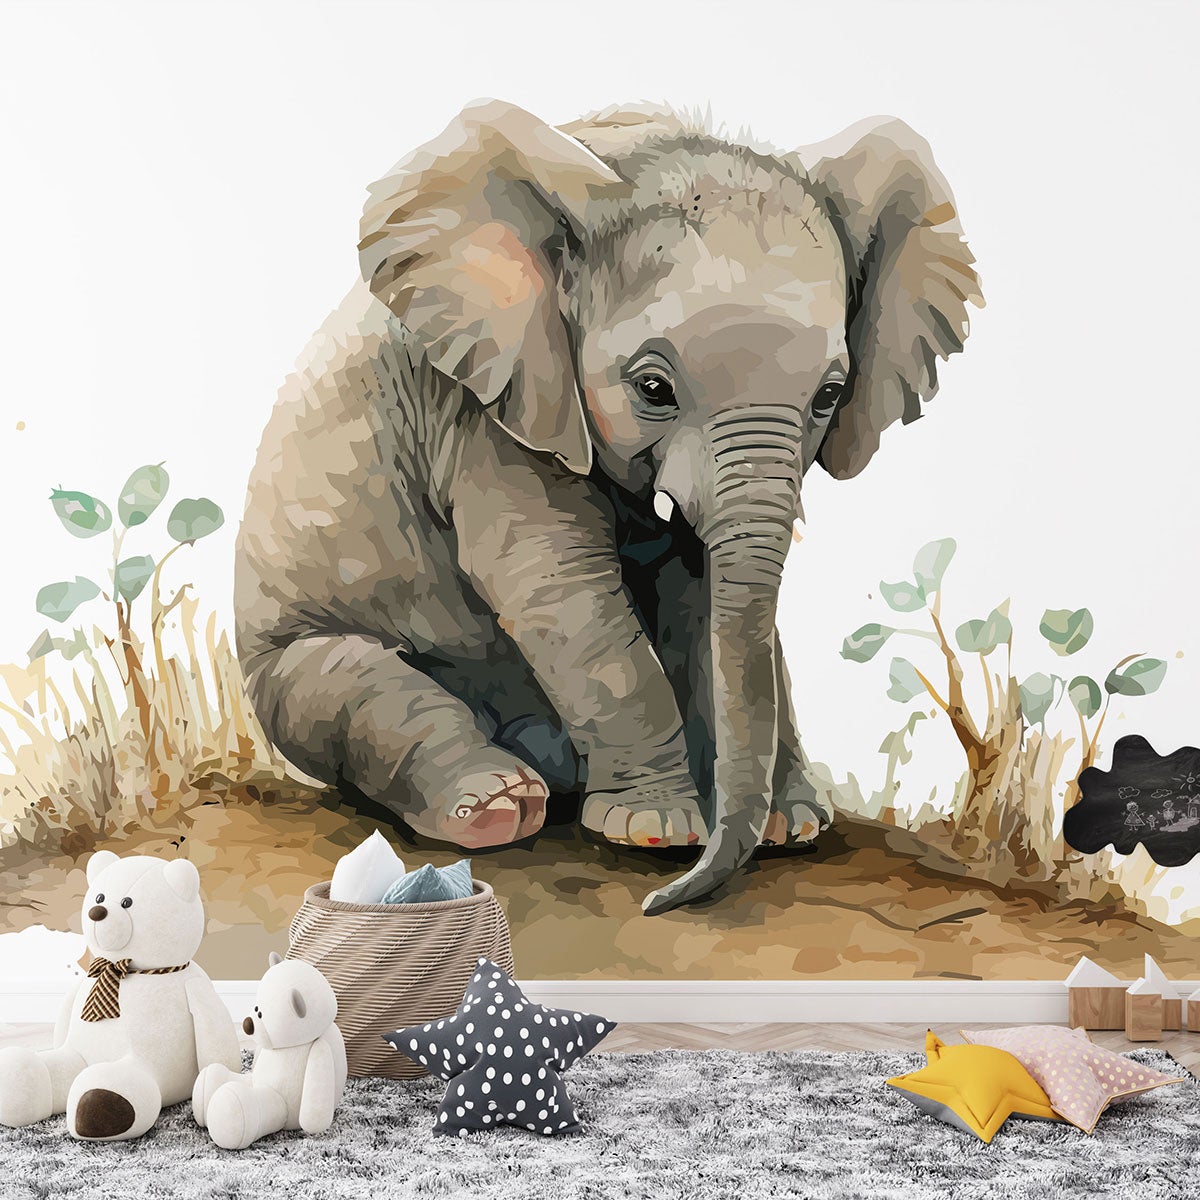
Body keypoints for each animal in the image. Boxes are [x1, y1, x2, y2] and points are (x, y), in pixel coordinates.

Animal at [234, 99, 981, 914]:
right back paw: (502, 806)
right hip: (288, 667)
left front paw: (795, 826)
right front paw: (654, 833)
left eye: (829, 396)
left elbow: (704, 596)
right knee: (362, 689)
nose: (663, 902)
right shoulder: (483, 414)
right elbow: (562, 589)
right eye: (652, 389)